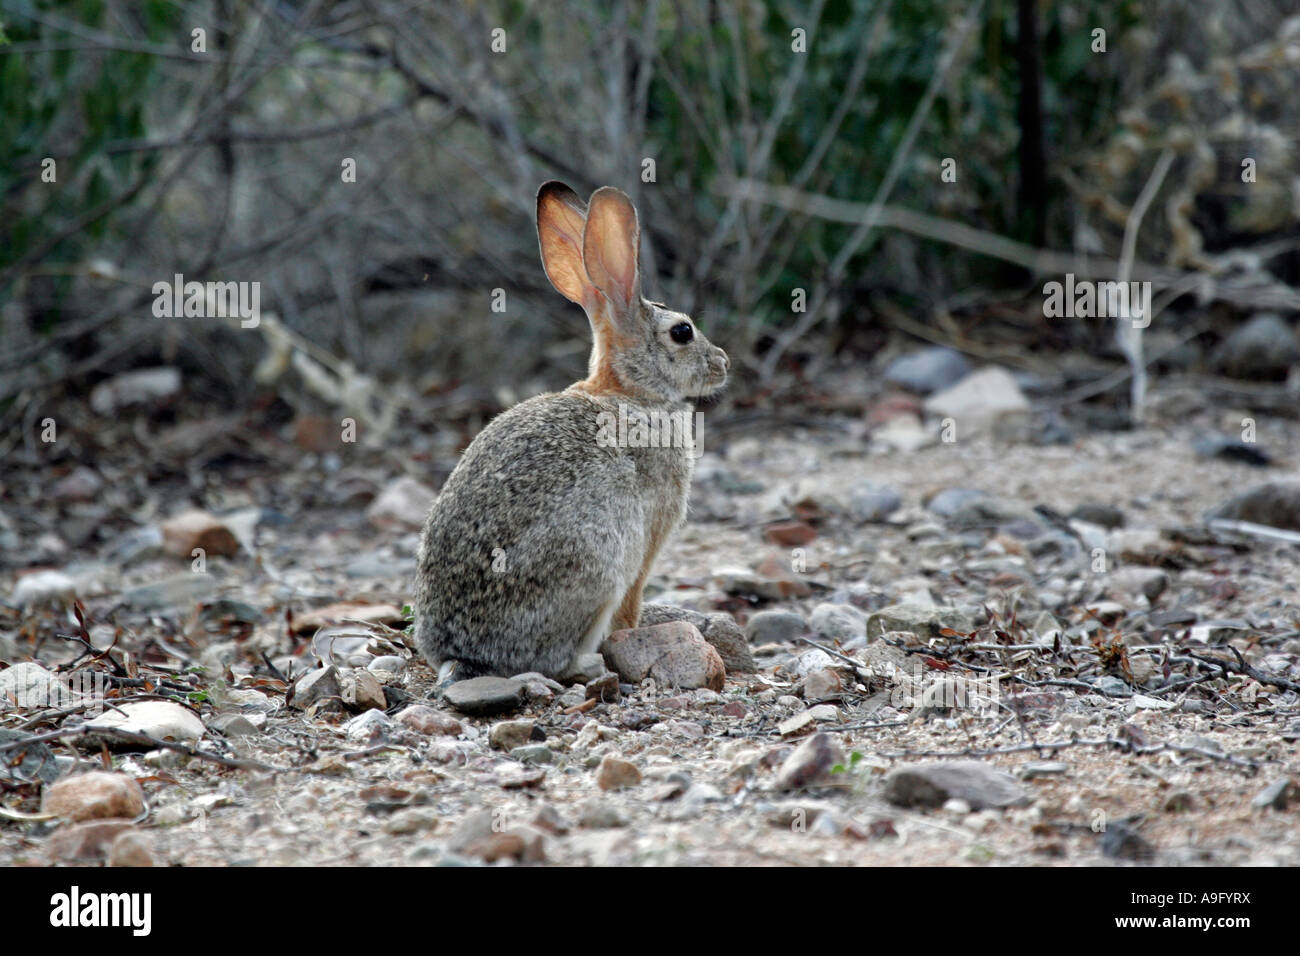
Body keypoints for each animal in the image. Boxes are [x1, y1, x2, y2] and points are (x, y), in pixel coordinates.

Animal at [414, 182, 729, 682]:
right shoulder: (647, 540)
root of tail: (466, 654)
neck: (629, 390)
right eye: (682, 332)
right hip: (598, 562)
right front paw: (634, 631)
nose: (723, 363)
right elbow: (632, 603)